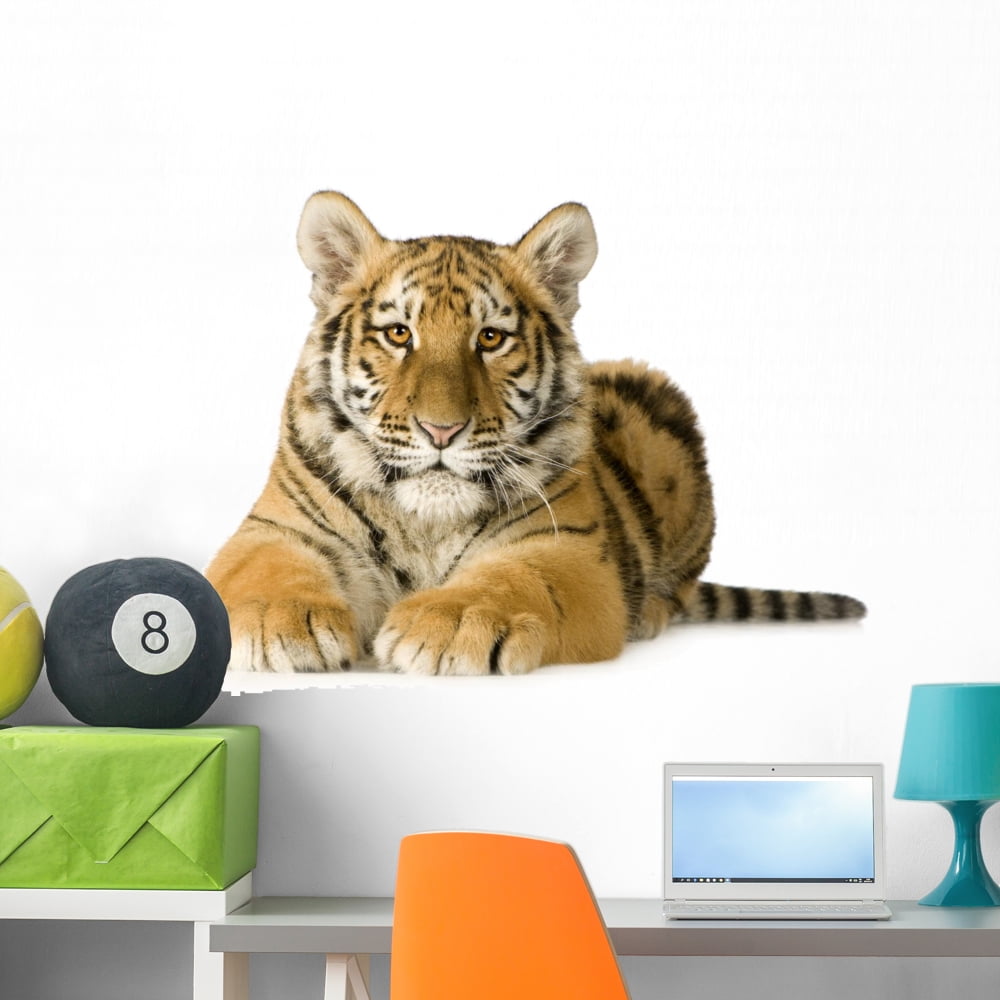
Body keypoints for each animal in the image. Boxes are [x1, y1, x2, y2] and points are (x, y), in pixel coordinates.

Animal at [205, 192, 865, 674]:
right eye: (398, 334)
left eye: (491, 338)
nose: (441, 430)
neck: (425, 522)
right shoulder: (273, 527)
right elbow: (264, 570)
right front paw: (280, 622)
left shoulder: (565, 547)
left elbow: (511, 579)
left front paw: (450, 625)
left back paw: (650, 613)